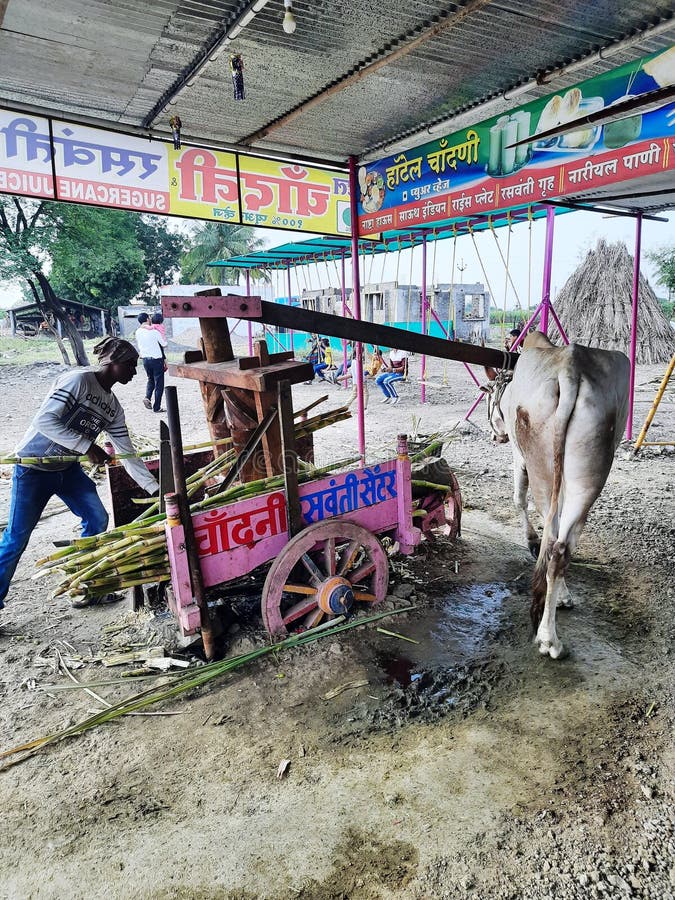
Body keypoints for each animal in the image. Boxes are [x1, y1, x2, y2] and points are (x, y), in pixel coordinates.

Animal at [485, 331, 630, 658]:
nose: (496, 436)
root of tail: (570, 368)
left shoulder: (519, 457)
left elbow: (518, 498)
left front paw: (529, 541)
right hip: (589, 471)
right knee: (562, 547)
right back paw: (553, 629)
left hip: (542, 466)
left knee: (550, 537)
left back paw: (546, 638)